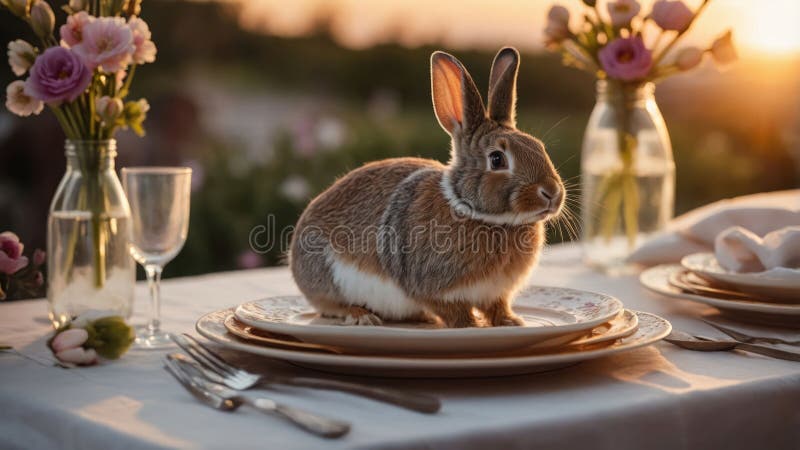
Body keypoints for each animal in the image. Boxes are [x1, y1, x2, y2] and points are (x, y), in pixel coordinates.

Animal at [289, 47, 565, 328]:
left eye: (539, 147)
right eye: (497, 159)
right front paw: (470, 325)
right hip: (327, 275)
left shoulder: (495, 293)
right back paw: (362, 316)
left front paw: (512, 322)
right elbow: (454, 311)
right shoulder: (434, 289)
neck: (482, 216)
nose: (552, 193)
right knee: (332, 305)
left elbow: (496, 307)